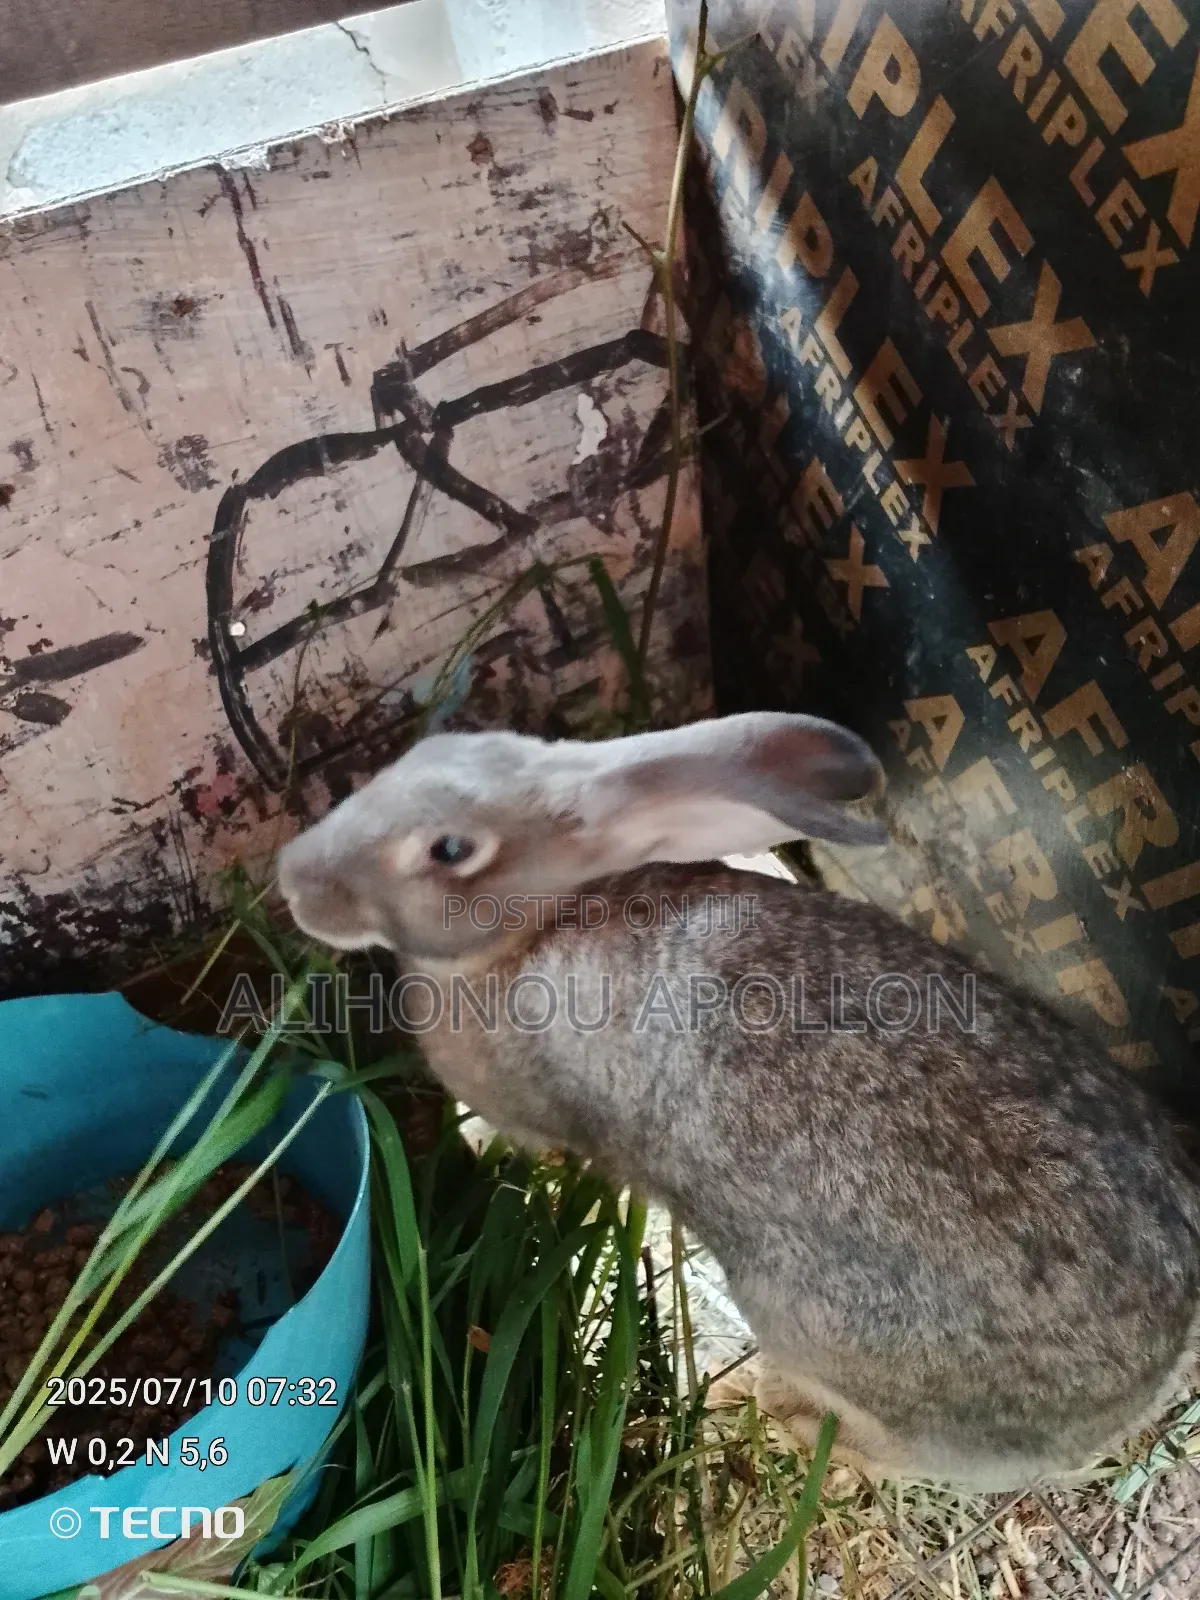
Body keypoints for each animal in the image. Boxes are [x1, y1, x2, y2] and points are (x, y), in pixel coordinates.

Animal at [276, 711, 1200, 1492]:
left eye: (449, 848)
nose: (293, 879)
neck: (533, 927)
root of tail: (1149, 1371)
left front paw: (480, 1144)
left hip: (828, 1335)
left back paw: (774, 1405)